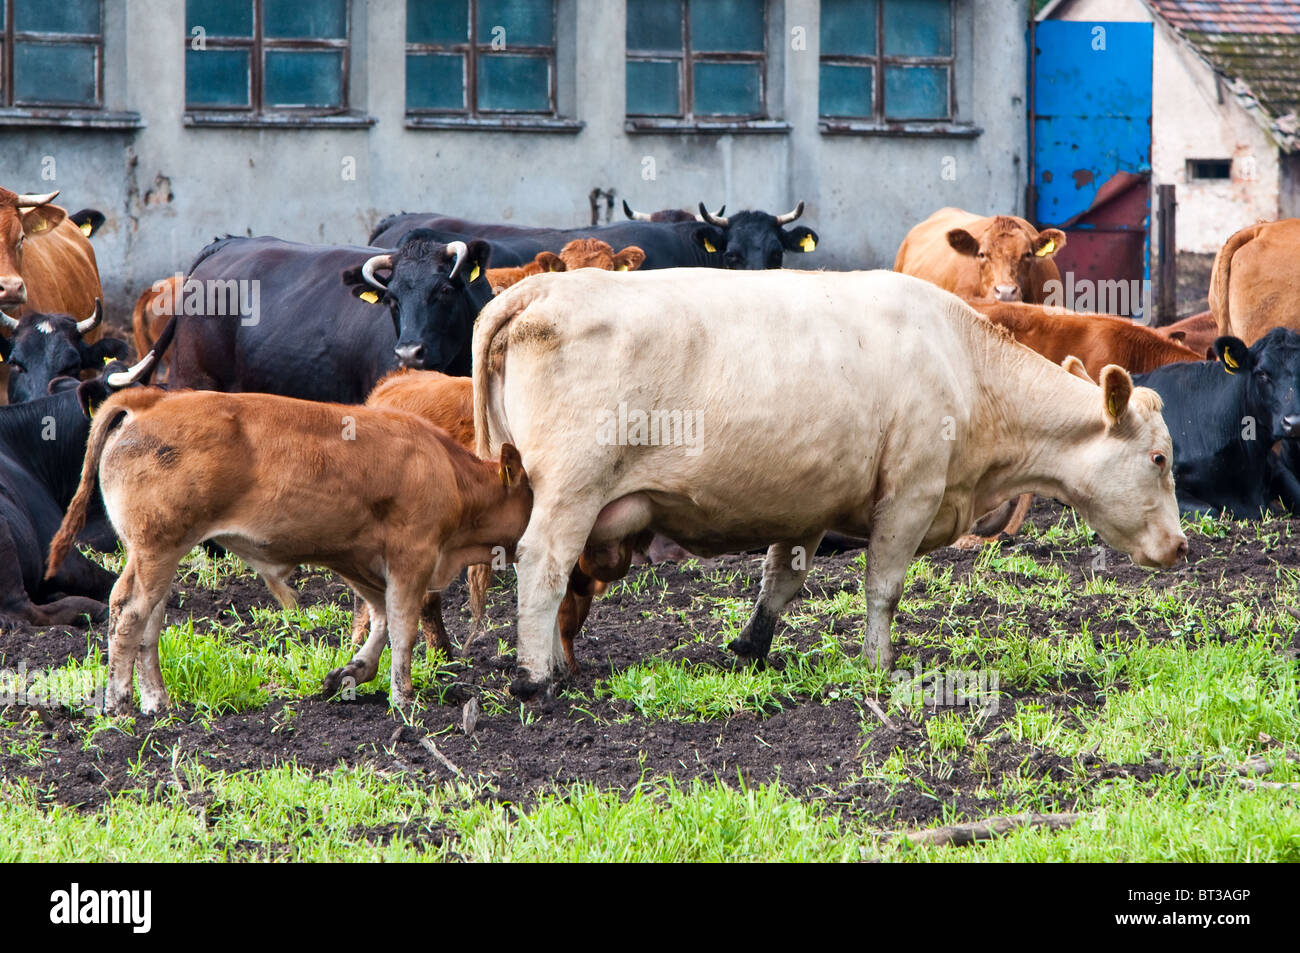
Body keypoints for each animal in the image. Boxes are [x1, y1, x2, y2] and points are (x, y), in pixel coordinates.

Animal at [46, 389, 533, 714]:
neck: (448, 473)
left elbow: (379, 617)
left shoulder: (358, 558)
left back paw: (156, 701)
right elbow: (402, 627)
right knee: (129, 613)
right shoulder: (412, 556)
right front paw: (404, 697)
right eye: (530, 494)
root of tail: (154, 400)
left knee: (150, 622)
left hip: (159, 554)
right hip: (155, 549)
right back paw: (119, 702)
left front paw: (352, 672)